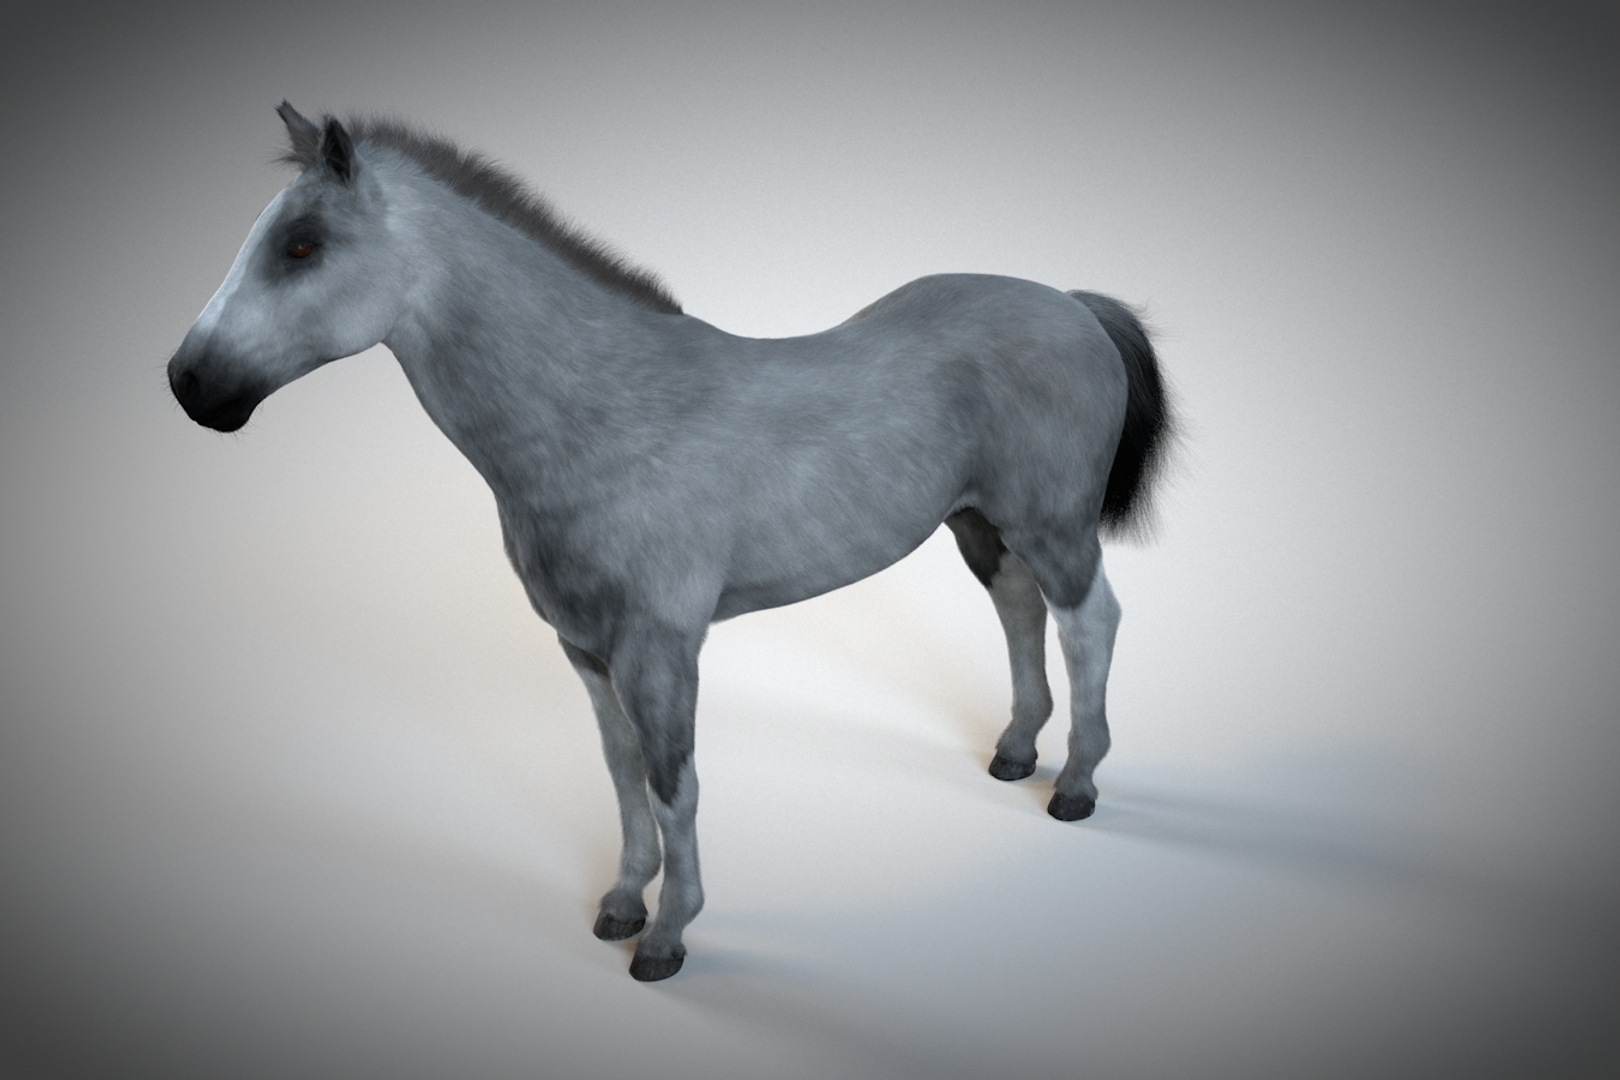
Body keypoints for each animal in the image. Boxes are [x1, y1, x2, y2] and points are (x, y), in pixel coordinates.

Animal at [168, 103, 1174, 981]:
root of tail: (1071, 303)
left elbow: (671, 779)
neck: (610, 418)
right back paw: (1016, 752)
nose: (189, 382)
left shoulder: (660, 646)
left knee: (1090, 621)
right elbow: (620, 772)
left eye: (302, 245)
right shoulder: (585, 646)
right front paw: (622, 903)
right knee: (1018, 609)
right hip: (980, 524)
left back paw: (1076, 785)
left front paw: (666, 937)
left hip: (1052, 523)